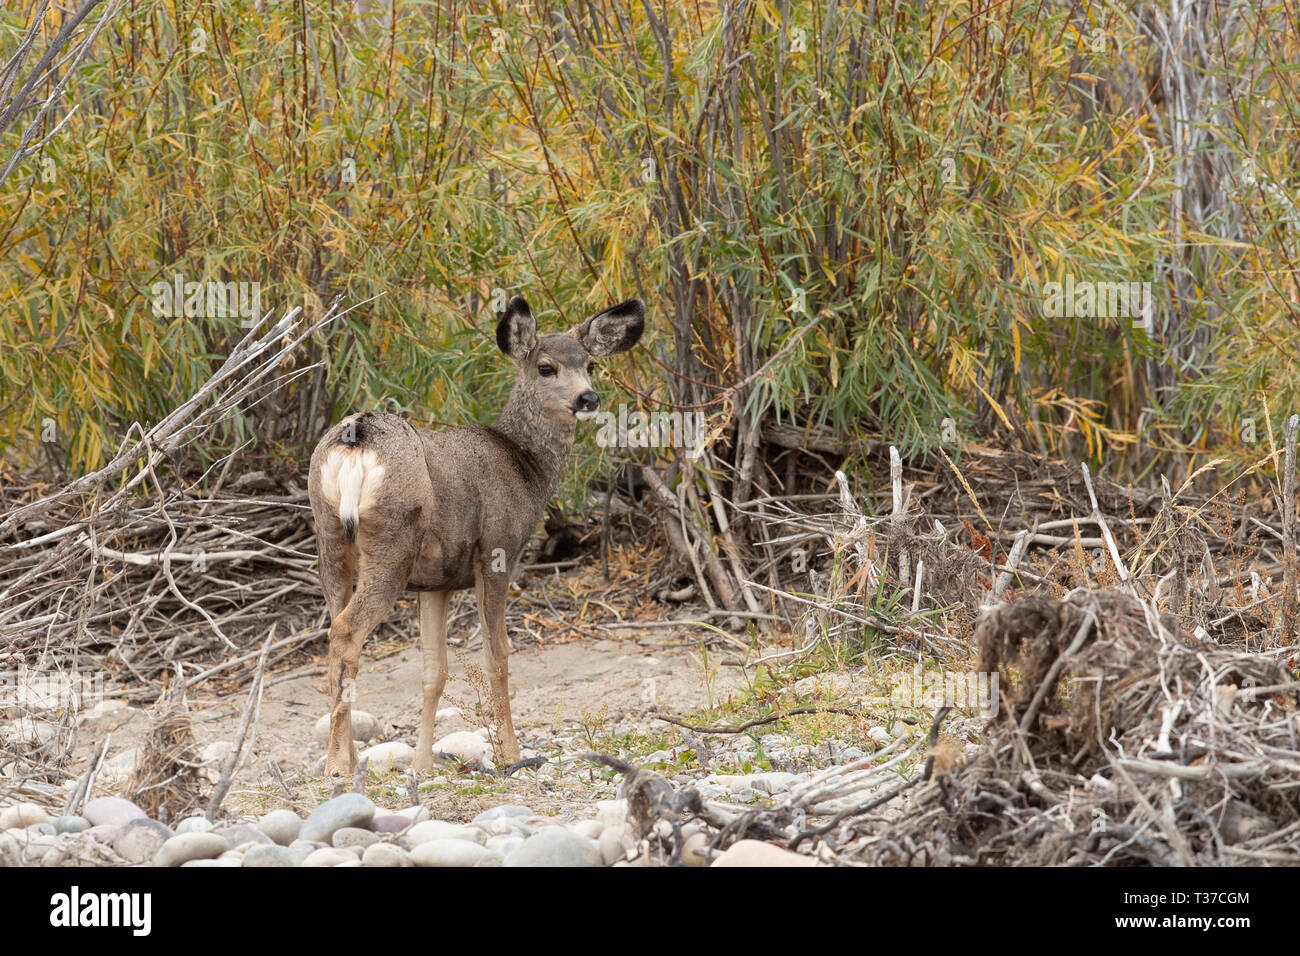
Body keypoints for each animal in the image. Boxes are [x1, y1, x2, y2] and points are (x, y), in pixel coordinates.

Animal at [307, 295, 645, 776]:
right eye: (545, 367)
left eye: (591, 364)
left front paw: (423, 764)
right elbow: (497, 656)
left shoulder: (435, 583)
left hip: (329, 533)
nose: (588, 397)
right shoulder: (498, 549)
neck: (525, 467)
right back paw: (337, 764)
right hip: (393, 541)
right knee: (347, 631)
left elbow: (434, 671)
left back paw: (348, 758)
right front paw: (511, 754)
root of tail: (356, 436)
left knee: (335, 626)